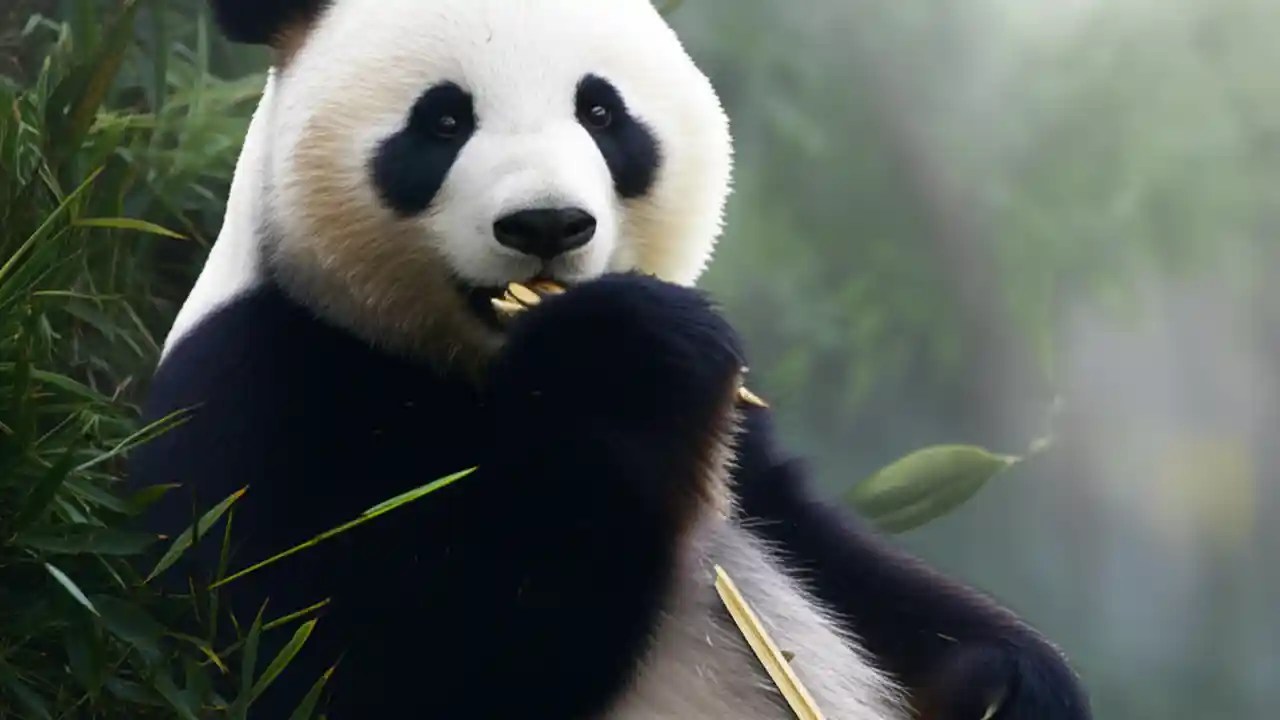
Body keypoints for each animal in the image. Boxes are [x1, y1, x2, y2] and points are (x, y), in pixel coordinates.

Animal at [130, 0, 1093, 718]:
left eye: (600, 111)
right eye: (442, 121)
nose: (546, 224)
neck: (480, 371)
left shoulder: (746, 462)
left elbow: (845, 563)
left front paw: (1010, 685)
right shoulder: (265, 397)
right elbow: (373, 659)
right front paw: (630, 359)